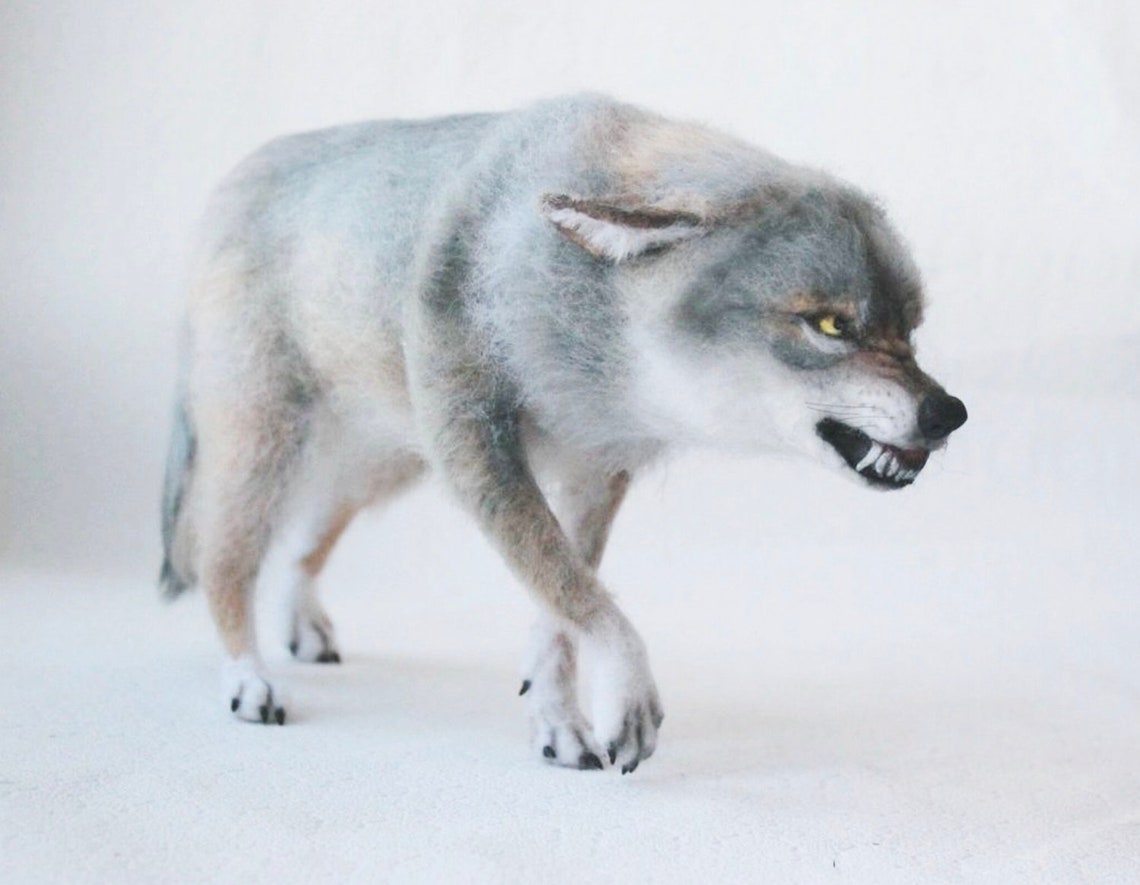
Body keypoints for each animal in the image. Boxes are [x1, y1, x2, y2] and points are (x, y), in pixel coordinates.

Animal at [160, 94, 966, 773]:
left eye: (911, 328)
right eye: (830, 325)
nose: (949, 413)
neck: (573, 307)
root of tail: (227, 185)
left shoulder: (593, 470)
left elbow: (563, 602)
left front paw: (556, 720)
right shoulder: (478, 455)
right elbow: (579, 593)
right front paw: (622, 695)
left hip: (385, 462)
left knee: (304, 536)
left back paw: (299, 626)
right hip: (270, 445)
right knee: (224, 558)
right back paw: (247, 677)